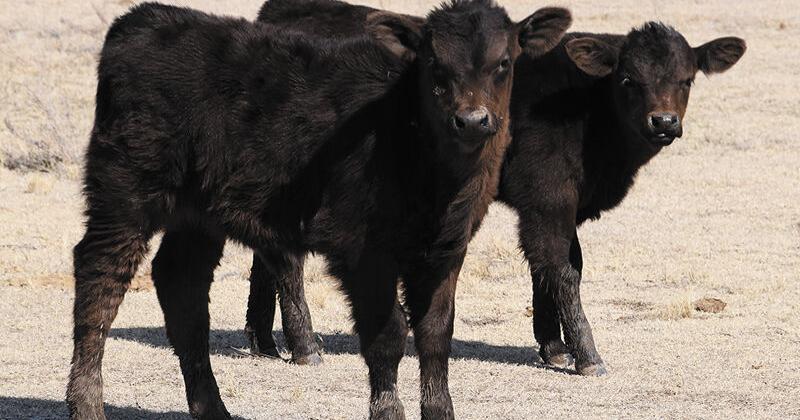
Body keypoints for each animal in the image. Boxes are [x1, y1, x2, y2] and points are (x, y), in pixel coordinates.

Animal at [67, 1, 571, 419]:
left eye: (503, 64)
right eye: (434, 65)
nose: (471, 120)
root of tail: (141, 20)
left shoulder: (448, 248)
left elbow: (435, 335)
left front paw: (439, 411)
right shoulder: (364, 249)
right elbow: (388, 335)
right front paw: (387, 412)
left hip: (198, 214)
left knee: (182, 284)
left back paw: (212, 408)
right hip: (125, 189)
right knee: (100, 279)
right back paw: (87, 404)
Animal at [245, 0, 746, 378]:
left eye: (687, 79)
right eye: (628, 79)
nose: (663, 122)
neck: (588, 111)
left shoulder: (557, 203)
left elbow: (554, 266)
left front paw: (553, 347)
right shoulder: (549, 196)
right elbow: (562, 268)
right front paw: (587, 356)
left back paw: (263, 340)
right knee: (284, 255)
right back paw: (304, 345)